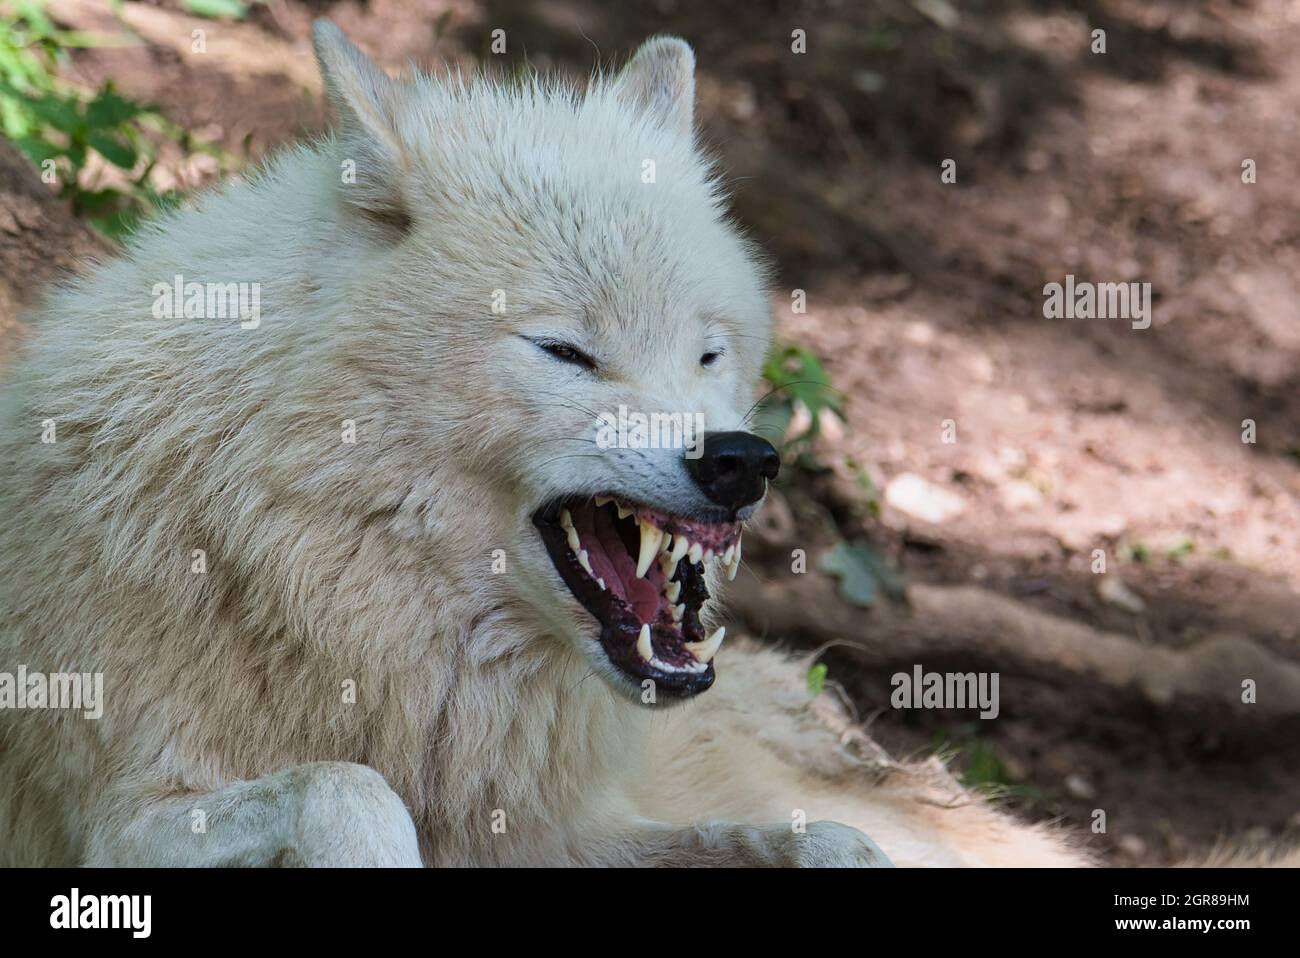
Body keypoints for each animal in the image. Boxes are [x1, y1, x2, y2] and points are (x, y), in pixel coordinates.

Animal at [0, 22, 1083, 867]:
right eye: (566, 351)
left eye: (705, 352)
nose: (740, 461)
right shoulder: (113, 818)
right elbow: (349, 792)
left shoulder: (554, 832)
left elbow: (813, 840)